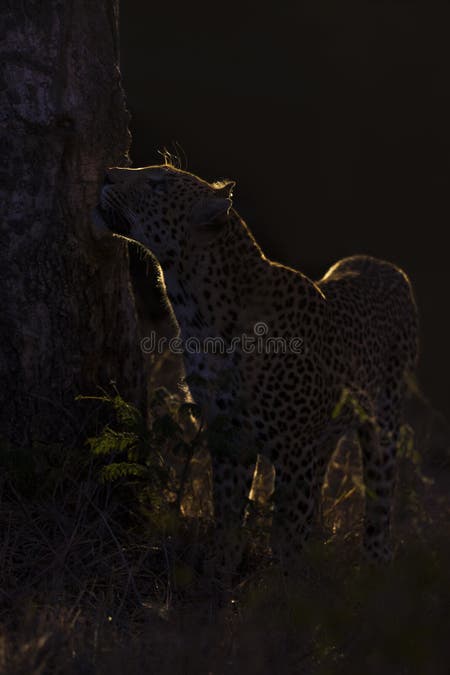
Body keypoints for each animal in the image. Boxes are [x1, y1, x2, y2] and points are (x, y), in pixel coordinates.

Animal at [95, 163, 419, 570]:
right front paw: (218, 575)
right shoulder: (229, 437)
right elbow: (228, 519)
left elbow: (286, 537)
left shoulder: (295, 451)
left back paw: (375, 565)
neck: (197, 314)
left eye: (158, 185)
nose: (107, 173)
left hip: (383, 424)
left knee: (379, 506)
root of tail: (381, 263)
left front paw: (281, 584)